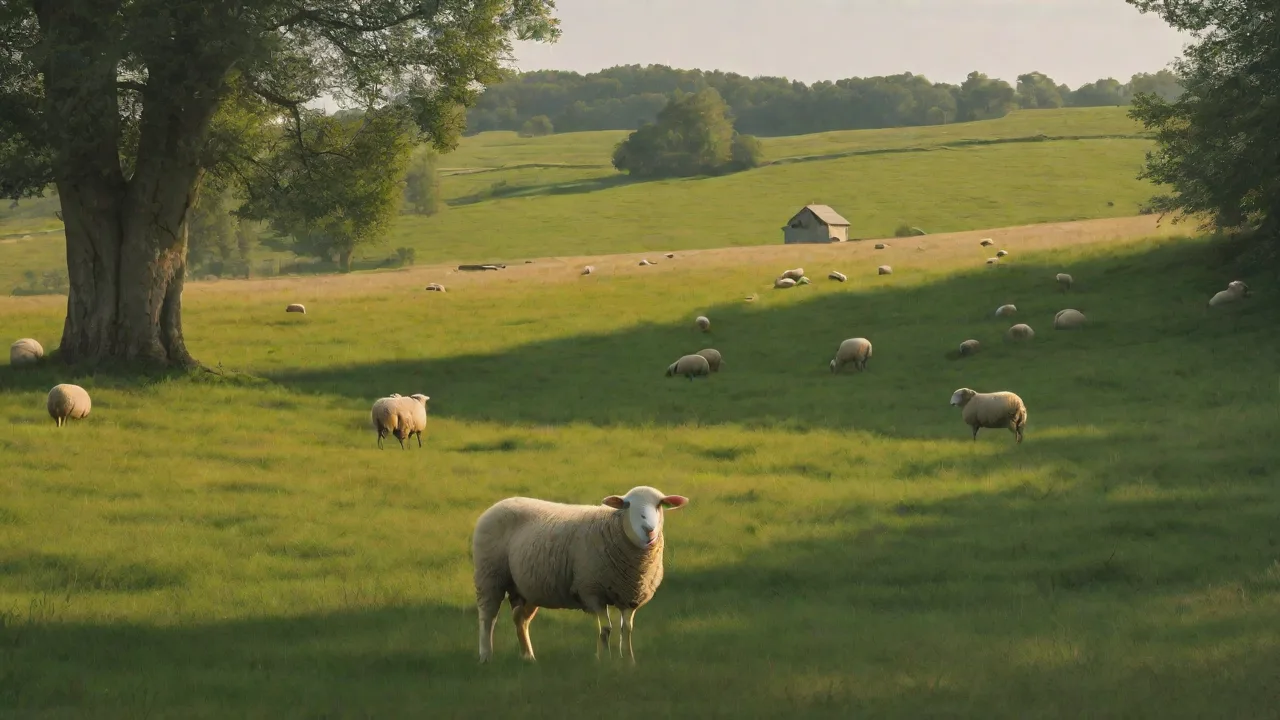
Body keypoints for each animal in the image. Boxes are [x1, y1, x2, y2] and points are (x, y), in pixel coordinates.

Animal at [472, 486, 689, 664]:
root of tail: (501, 503)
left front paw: (628, 661)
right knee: (488, 617)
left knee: (520, 619)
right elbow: (606, 629)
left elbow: (626, 629)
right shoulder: (592, 590)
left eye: (659, 504)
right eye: (627, 505)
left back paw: (528, 656)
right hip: (489, 575)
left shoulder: (630, 596)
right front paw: (603, 659)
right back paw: (486, 656)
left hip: (528, 586)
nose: (649, 530)